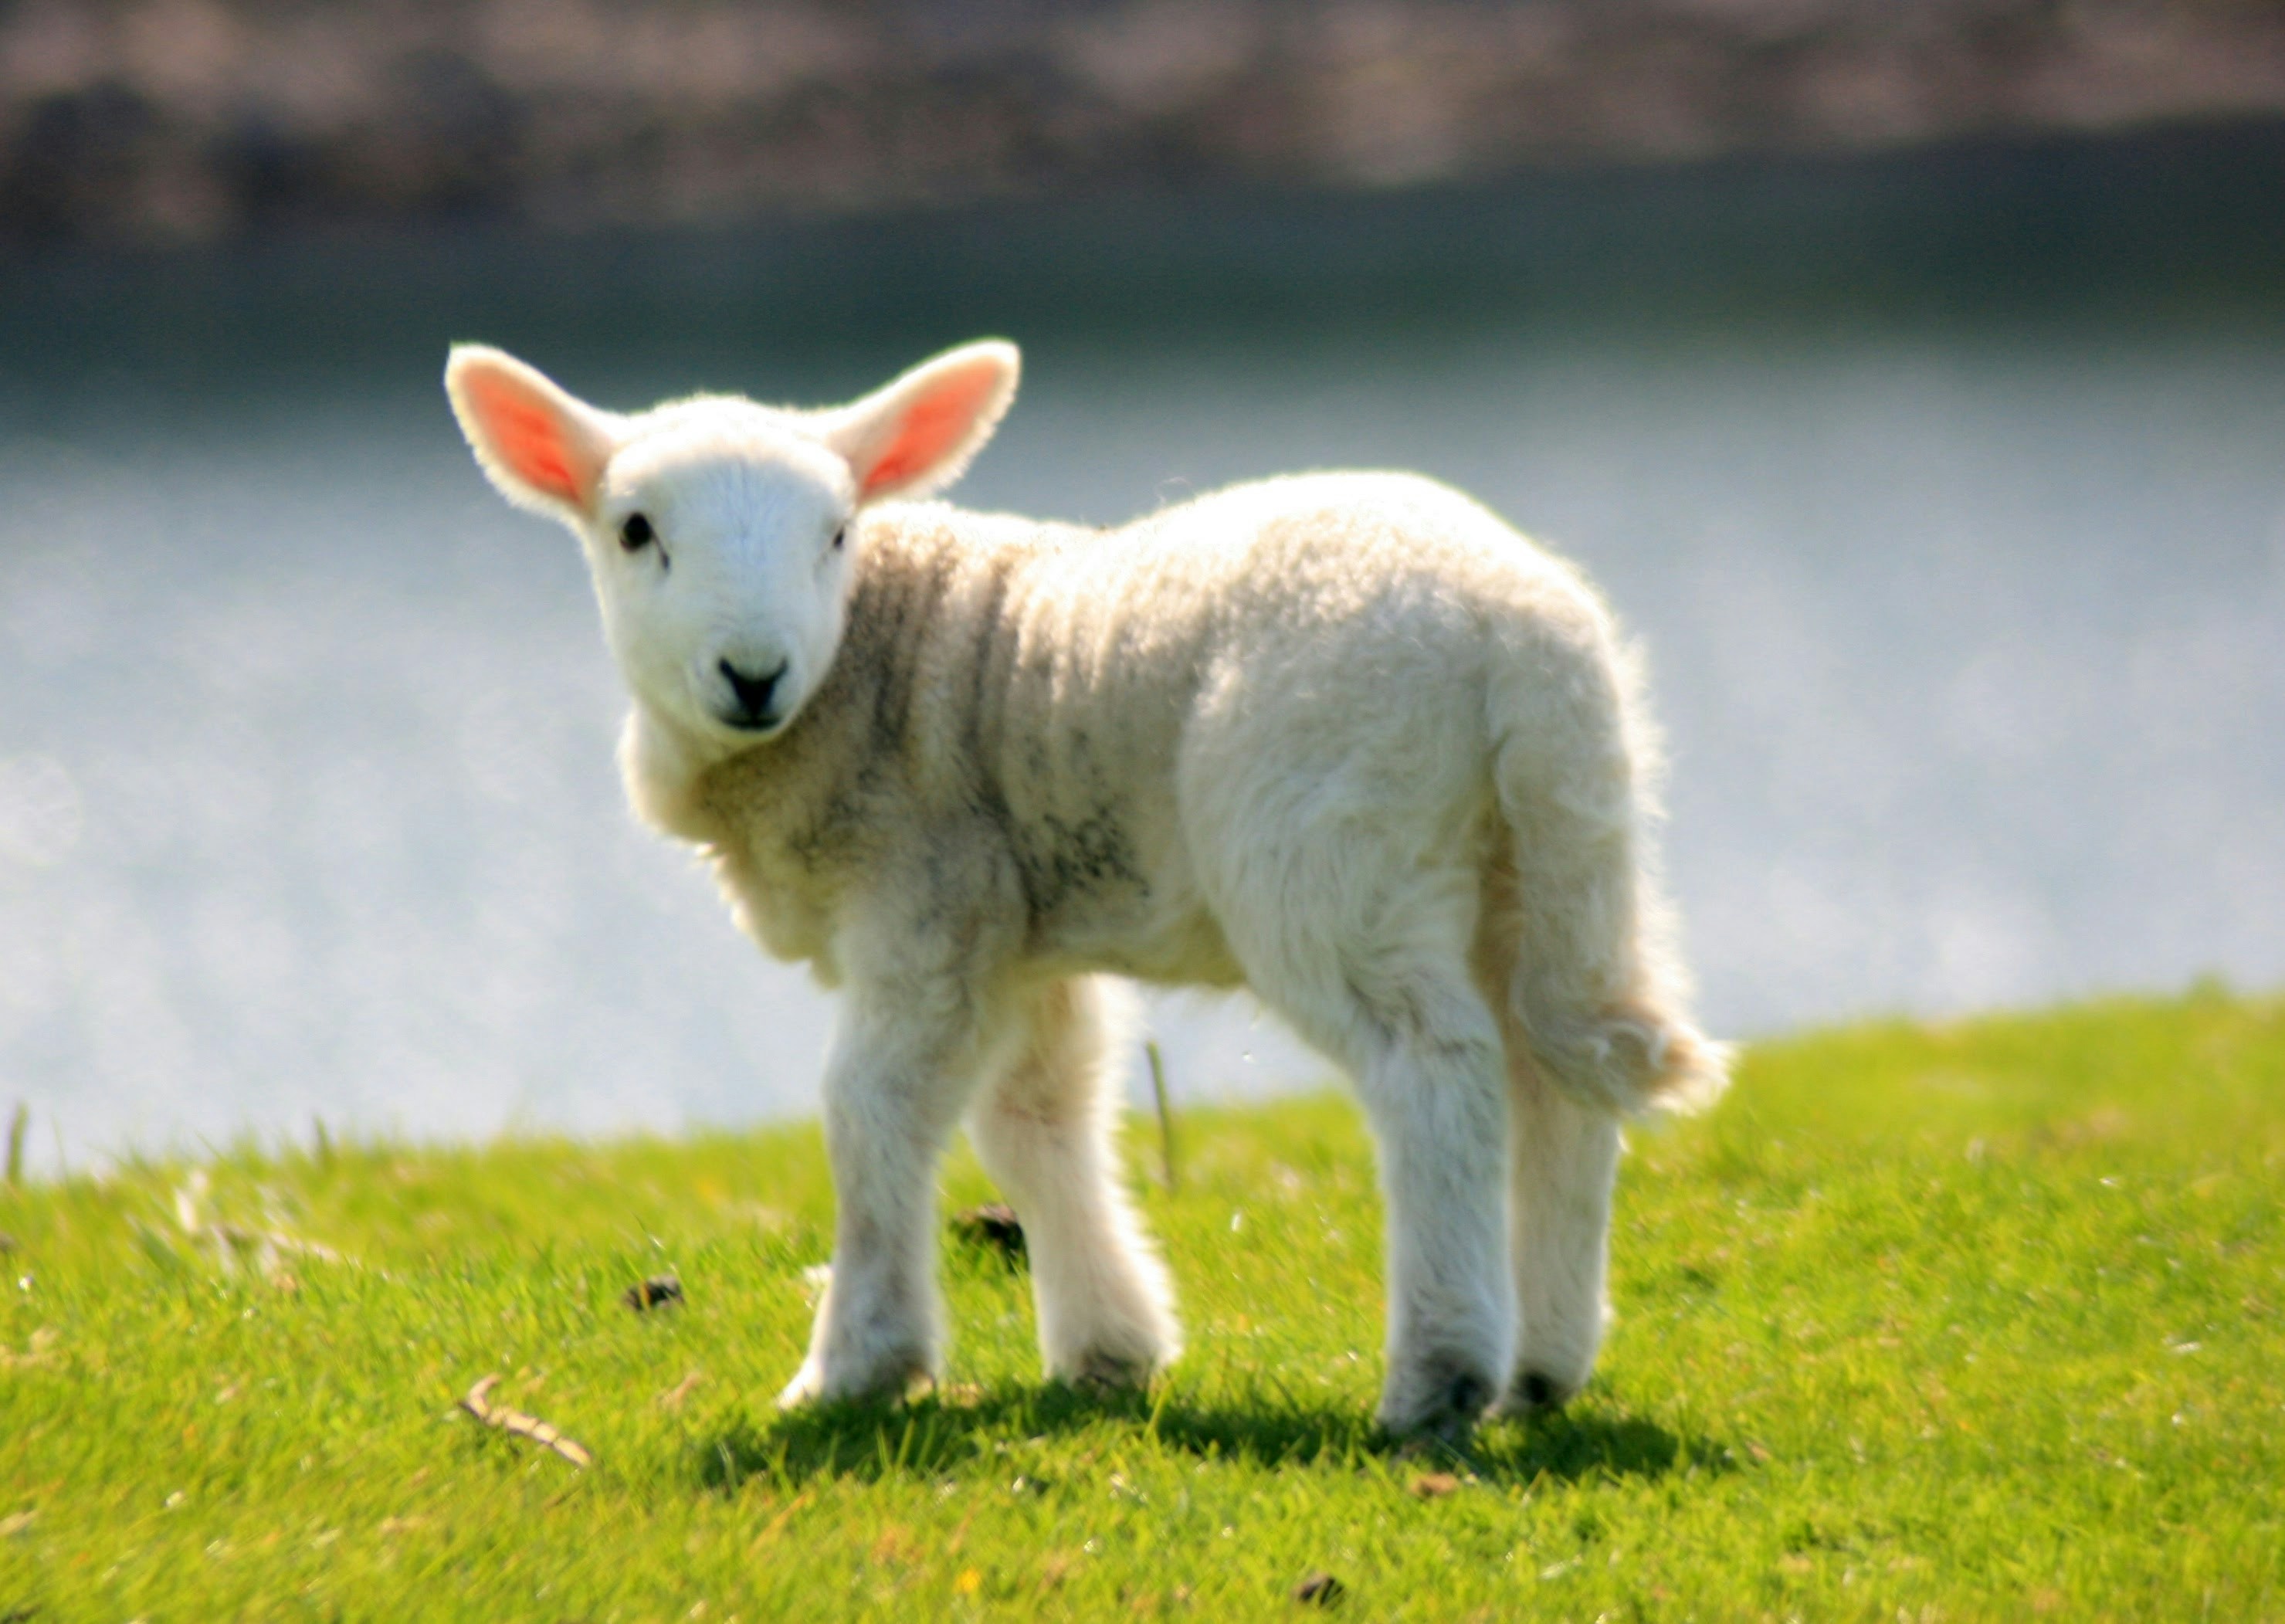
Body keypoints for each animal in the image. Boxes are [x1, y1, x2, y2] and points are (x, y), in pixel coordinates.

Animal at [444, 337, 1729, 1439]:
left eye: (837, 531)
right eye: (634, 530)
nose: (751, 673)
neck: (874, 658)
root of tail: (1517, 639)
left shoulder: (925, 896)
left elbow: (872, 1109)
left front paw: (855, 1366)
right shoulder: (1013, 923)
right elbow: (1035, 1112)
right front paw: (1109, 1346)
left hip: (1331, 840)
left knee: (1437, 1068)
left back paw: (1438, 1376)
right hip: (1551, 845)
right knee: (1552, 1074)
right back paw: (1541, 1365)